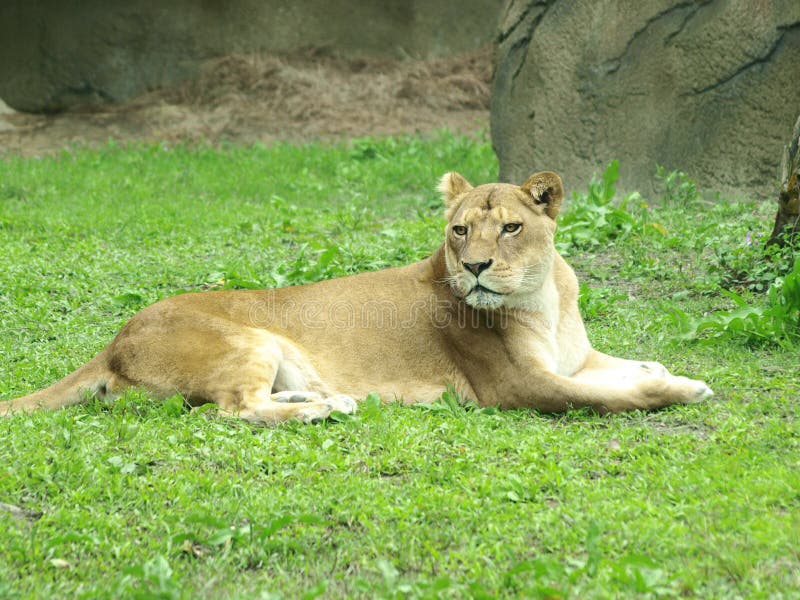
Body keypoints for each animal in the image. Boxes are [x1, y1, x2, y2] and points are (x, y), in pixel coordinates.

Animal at [0, 171, 713, 423]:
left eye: (510, 227)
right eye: (460, 230)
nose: (476, 266)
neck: (545, 295)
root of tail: (113, 341)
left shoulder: (576, 359)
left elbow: (623, 368)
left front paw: (664, 369)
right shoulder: (519, 387)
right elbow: (610, 397)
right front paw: (681, 390)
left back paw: (321, 398)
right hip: (247, 339)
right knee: (232, 410)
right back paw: (325, 409)